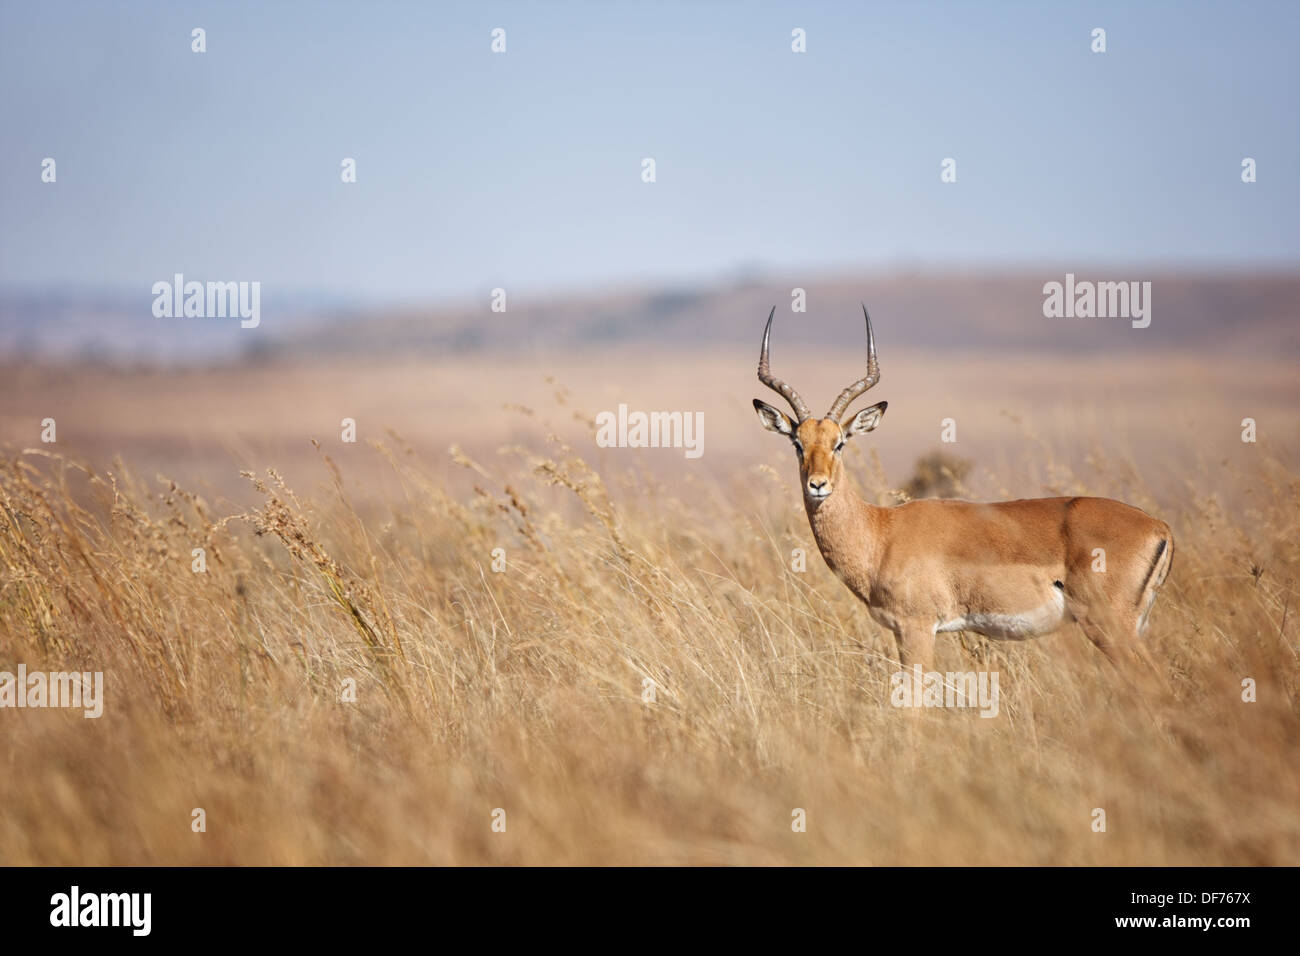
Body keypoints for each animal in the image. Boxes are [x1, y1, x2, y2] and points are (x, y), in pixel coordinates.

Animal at [752, 306, 1173, 676]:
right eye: (797, 443)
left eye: (839, 442)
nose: (817, 484)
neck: (881, 532)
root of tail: (1160, 528)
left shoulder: (916, 628)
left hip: (1110, 628)